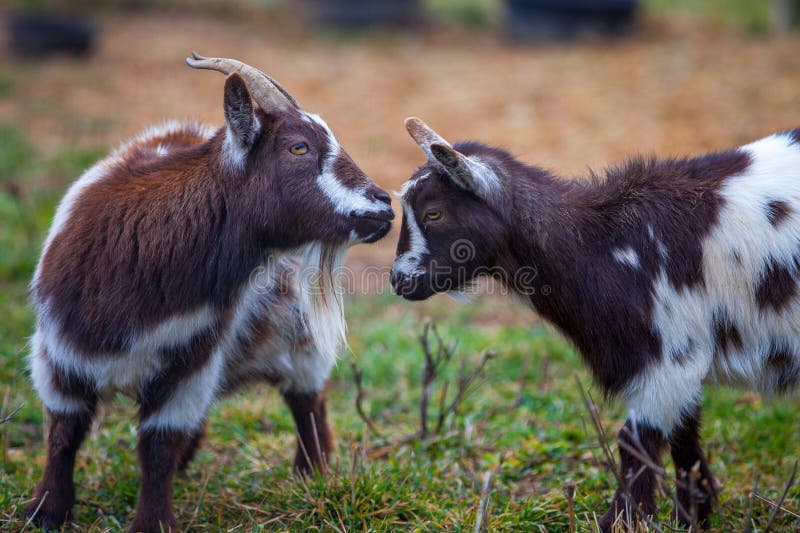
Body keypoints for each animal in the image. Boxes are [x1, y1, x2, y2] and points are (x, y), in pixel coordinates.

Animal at [25, 53, 394, 533]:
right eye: (298, 147)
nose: (385, 205)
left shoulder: (190, 362)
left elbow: (158, 445)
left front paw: (152, 523)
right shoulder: (59, 352)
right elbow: (63, 431)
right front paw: (46, 510)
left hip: (296, 335)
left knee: (307, 398)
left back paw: (310, 473)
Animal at [391, 117, 800, 530]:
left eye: (433, 213)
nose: (399, 281)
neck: (603, 243)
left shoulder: (667, 358)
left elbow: (634, 443)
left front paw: (619, 520)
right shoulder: (676, 362)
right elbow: (685, 441)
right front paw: (692, 518)